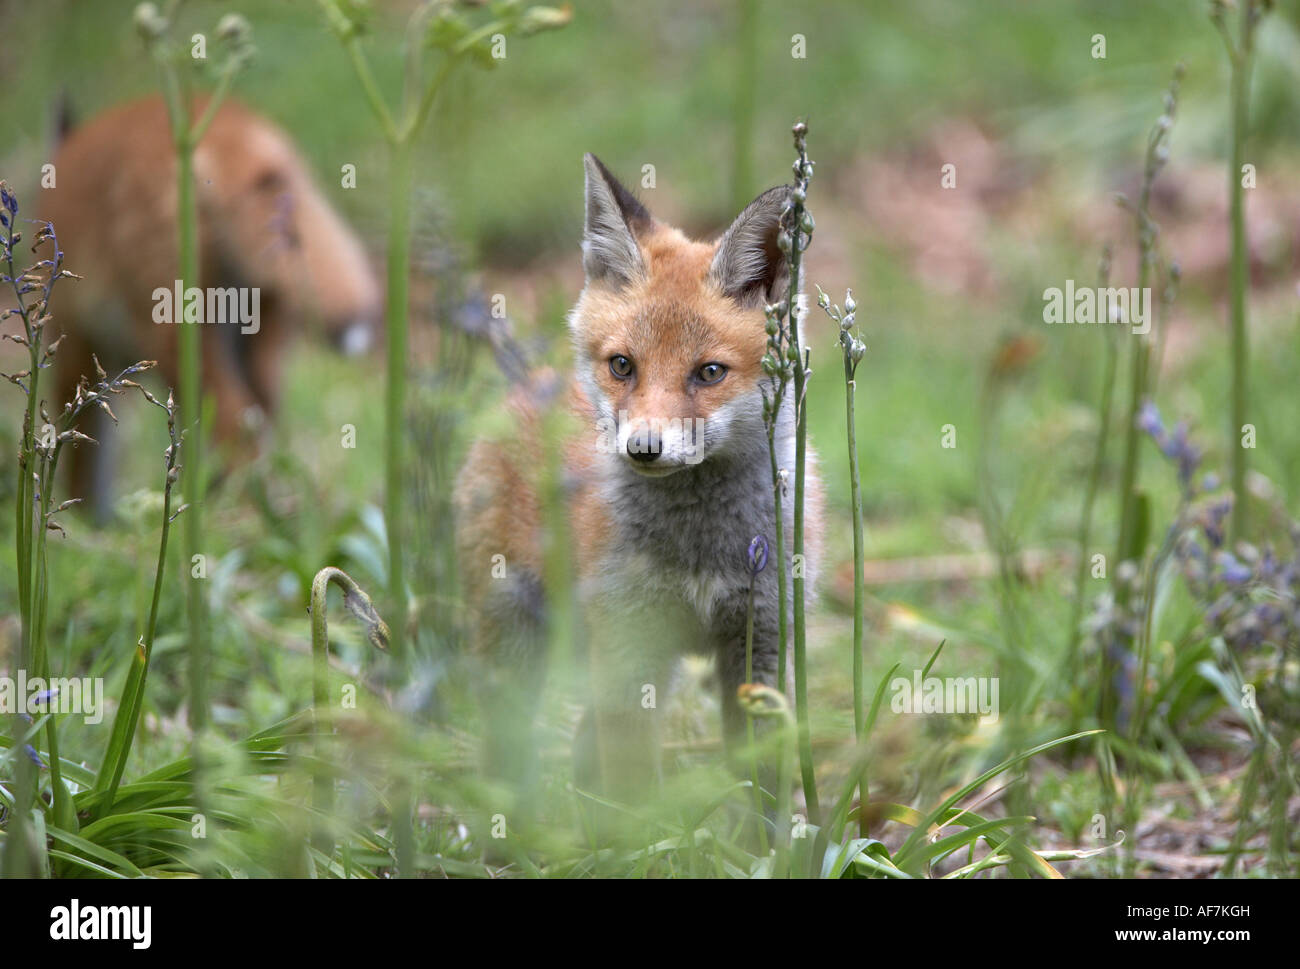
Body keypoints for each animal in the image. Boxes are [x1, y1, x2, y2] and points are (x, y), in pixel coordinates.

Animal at [38, 96, 382, 510]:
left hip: (180, 340)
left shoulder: (74, 347)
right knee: (257, 426)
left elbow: (81, 459)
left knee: (236, 433)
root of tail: (242, 134)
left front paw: (81, 517)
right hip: (262, 348)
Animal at [454, 155, 822, 810]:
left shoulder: (762, 642)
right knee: (513, 752)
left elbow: (762, 792)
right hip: (518, 645)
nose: (644, 448)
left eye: (709, 372)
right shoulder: (632, 647)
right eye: (623, 365)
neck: (702, 547)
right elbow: (633, 793)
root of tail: (530, 383)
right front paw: (641, 833)